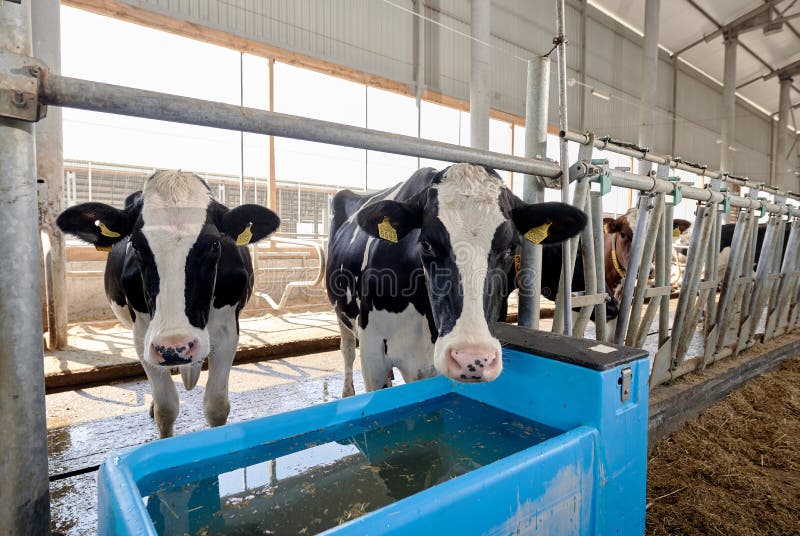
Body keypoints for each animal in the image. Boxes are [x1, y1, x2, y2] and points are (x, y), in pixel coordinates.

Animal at [56, 170, 280, 437]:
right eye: (136, 246)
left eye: (214, 244)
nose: (175, 347)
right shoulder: (143, 335)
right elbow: (166, 408)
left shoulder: (227, 330)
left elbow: (216, 406)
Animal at [326, 164, 586, 397]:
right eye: (426, 244)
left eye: (511, 248)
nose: (472, 359)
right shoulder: (373, 356)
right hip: (342, 316)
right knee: (347, 350)